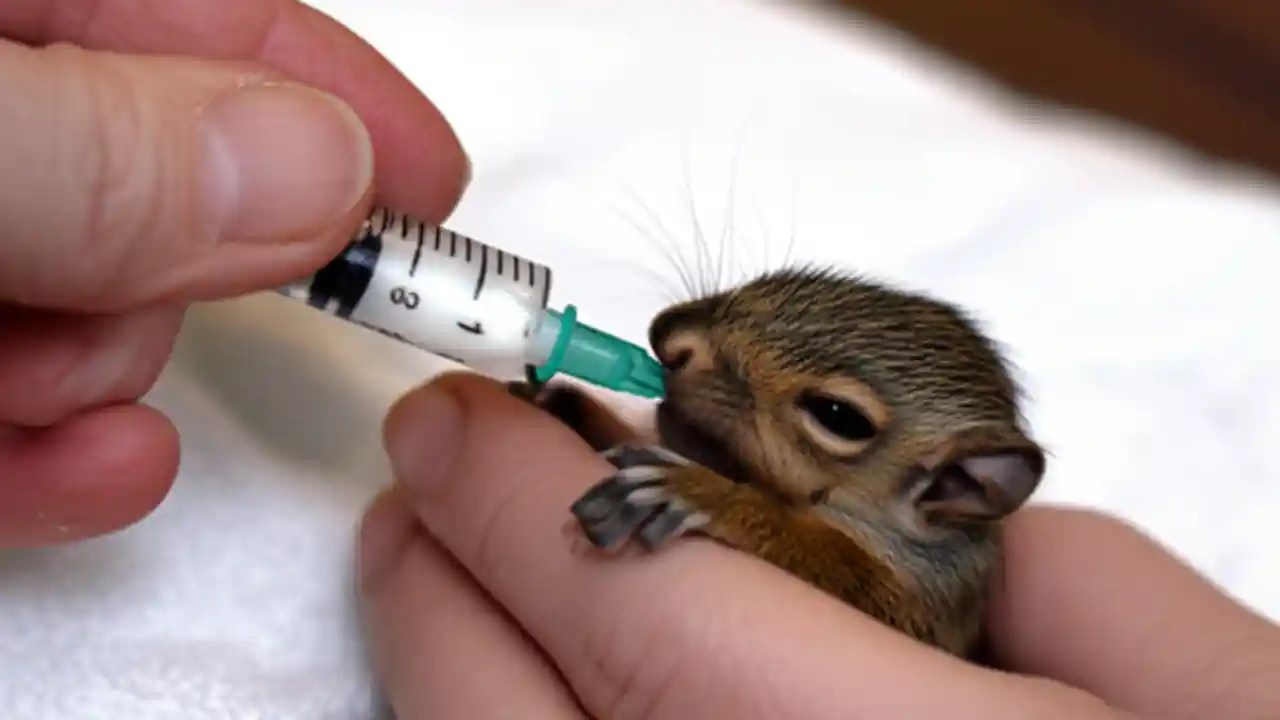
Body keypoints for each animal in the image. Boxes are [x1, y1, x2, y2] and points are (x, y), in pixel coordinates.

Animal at [510, 266, 1045, 658]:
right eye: (776, 278)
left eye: (839, 416)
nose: (669, 335)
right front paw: (556, 399)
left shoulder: (922, 606)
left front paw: (700, 492)